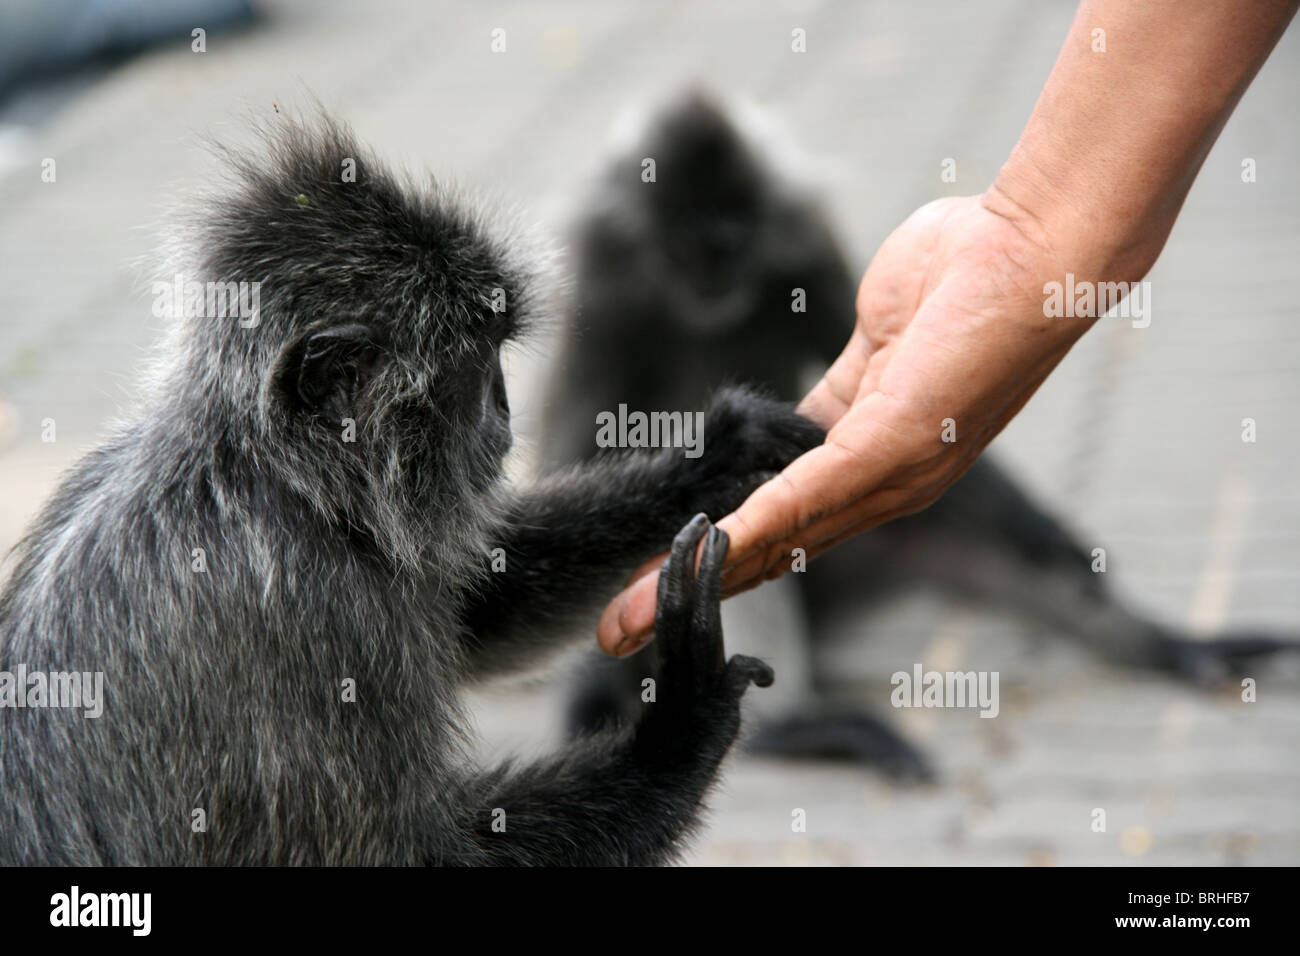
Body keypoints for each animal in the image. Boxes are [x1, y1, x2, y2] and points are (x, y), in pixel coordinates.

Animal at [0, 111, 826, 865]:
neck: (279, 483)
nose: (505, 405)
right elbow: (411, 854)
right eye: (477, 363)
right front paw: (685, 716)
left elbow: (482, 609)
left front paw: (724, 457)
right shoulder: (315, 616)